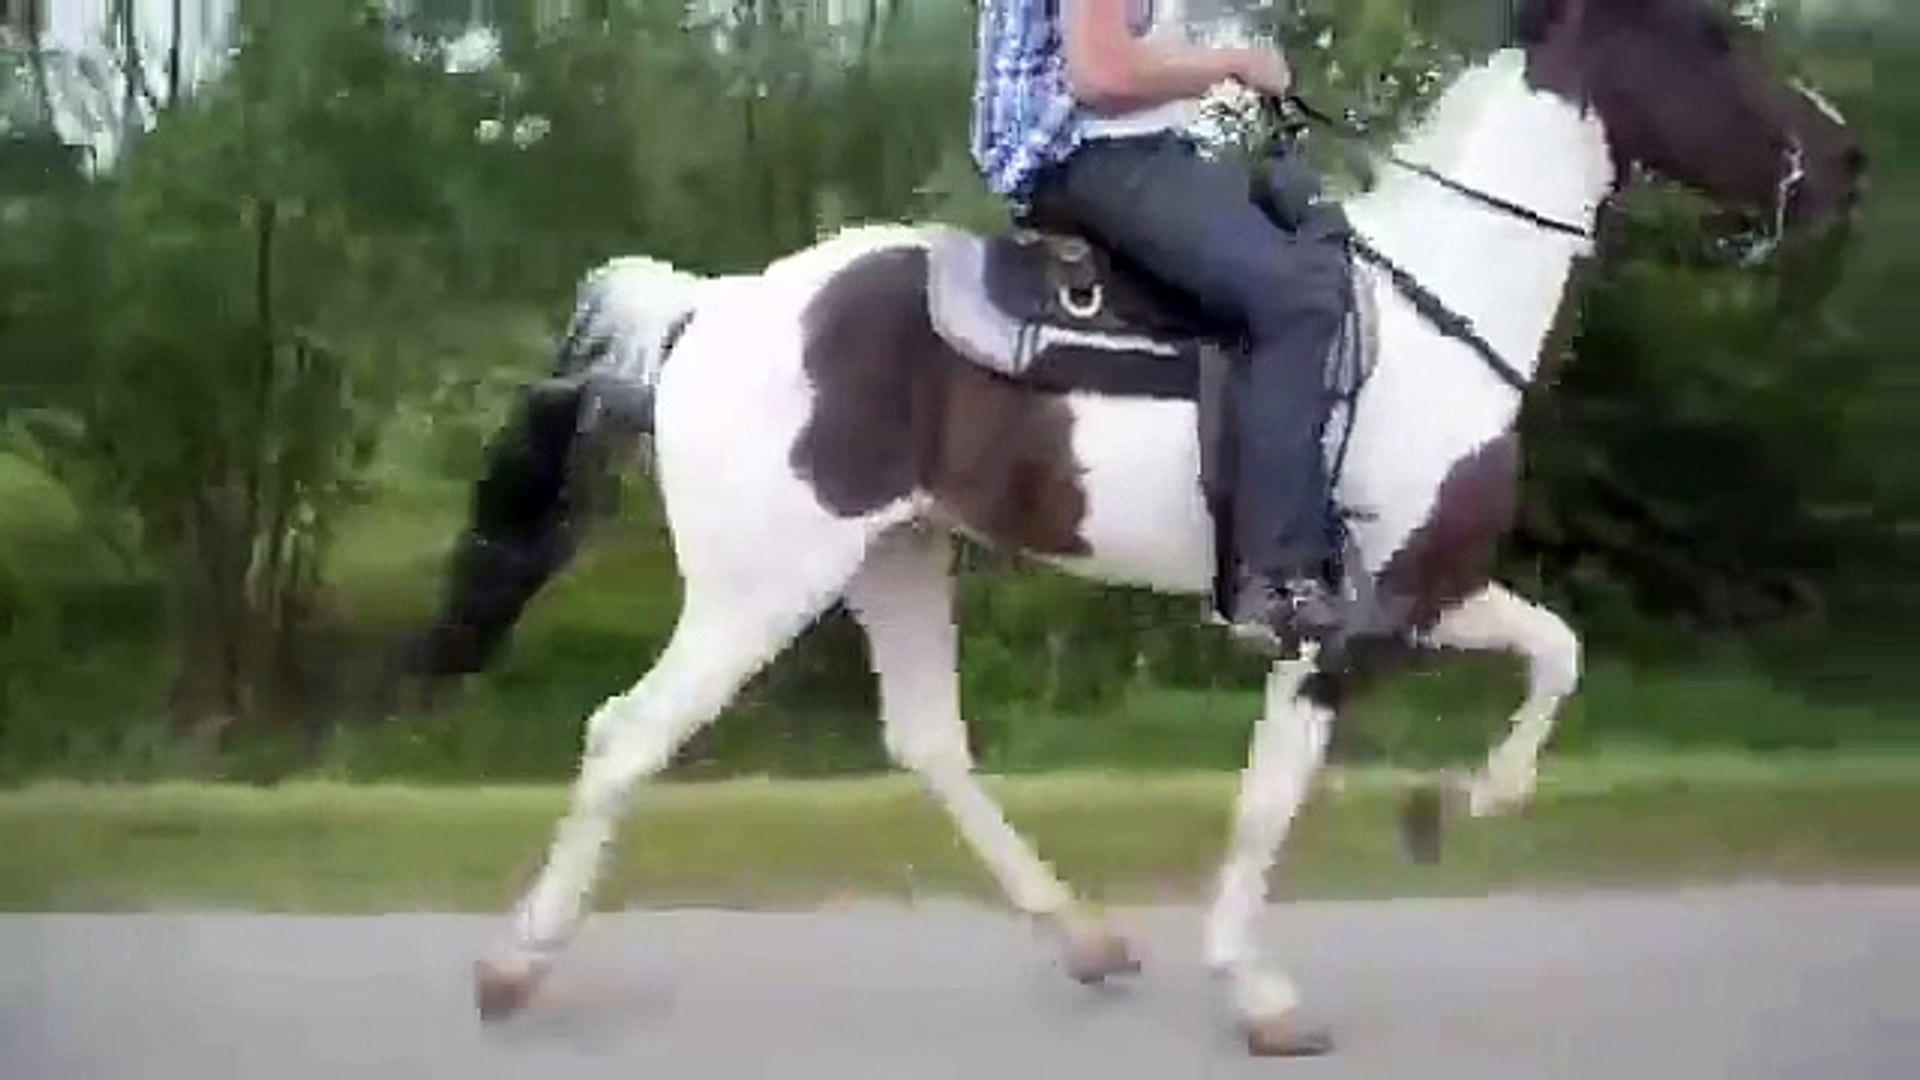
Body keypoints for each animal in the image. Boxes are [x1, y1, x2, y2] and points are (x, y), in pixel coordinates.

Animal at [411, 0, 1864, 1057]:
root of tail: (713, 305)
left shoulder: (1431, 587)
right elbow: (1273, 797)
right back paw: (509, 966)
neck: (1438, 304)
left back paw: (1087, 938)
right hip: (761, 585)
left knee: (929, 744)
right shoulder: (1334, 621)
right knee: (626, 736)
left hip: (896, 559)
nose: (1847, 160)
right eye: (1716, 36)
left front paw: (1474, 800)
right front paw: (1261, 992)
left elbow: (1558, 651)